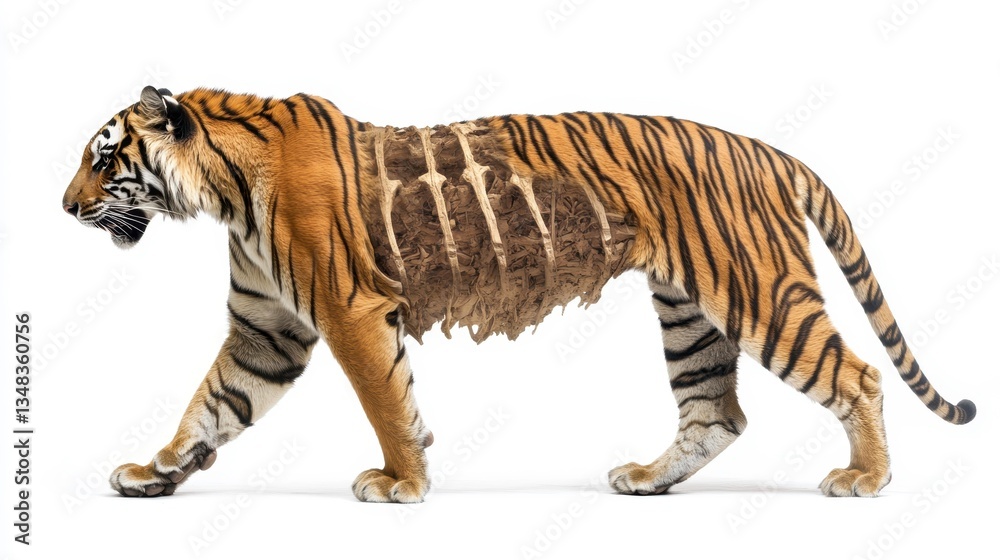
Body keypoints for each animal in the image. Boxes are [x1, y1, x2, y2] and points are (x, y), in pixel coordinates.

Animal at [61, 85, 976, 502]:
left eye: (104, 158)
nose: (64, 208)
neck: (222, 191)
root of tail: (767, 149)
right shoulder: (267, 329)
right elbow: (213, 401)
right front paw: (157, 470)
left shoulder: (351, 312)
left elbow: (386, 401)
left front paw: (401, 483)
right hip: (689, 312)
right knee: (716, 413)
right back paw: (648, 479)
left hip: (759, 295)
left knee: (857, 376)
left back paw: (865, 480)